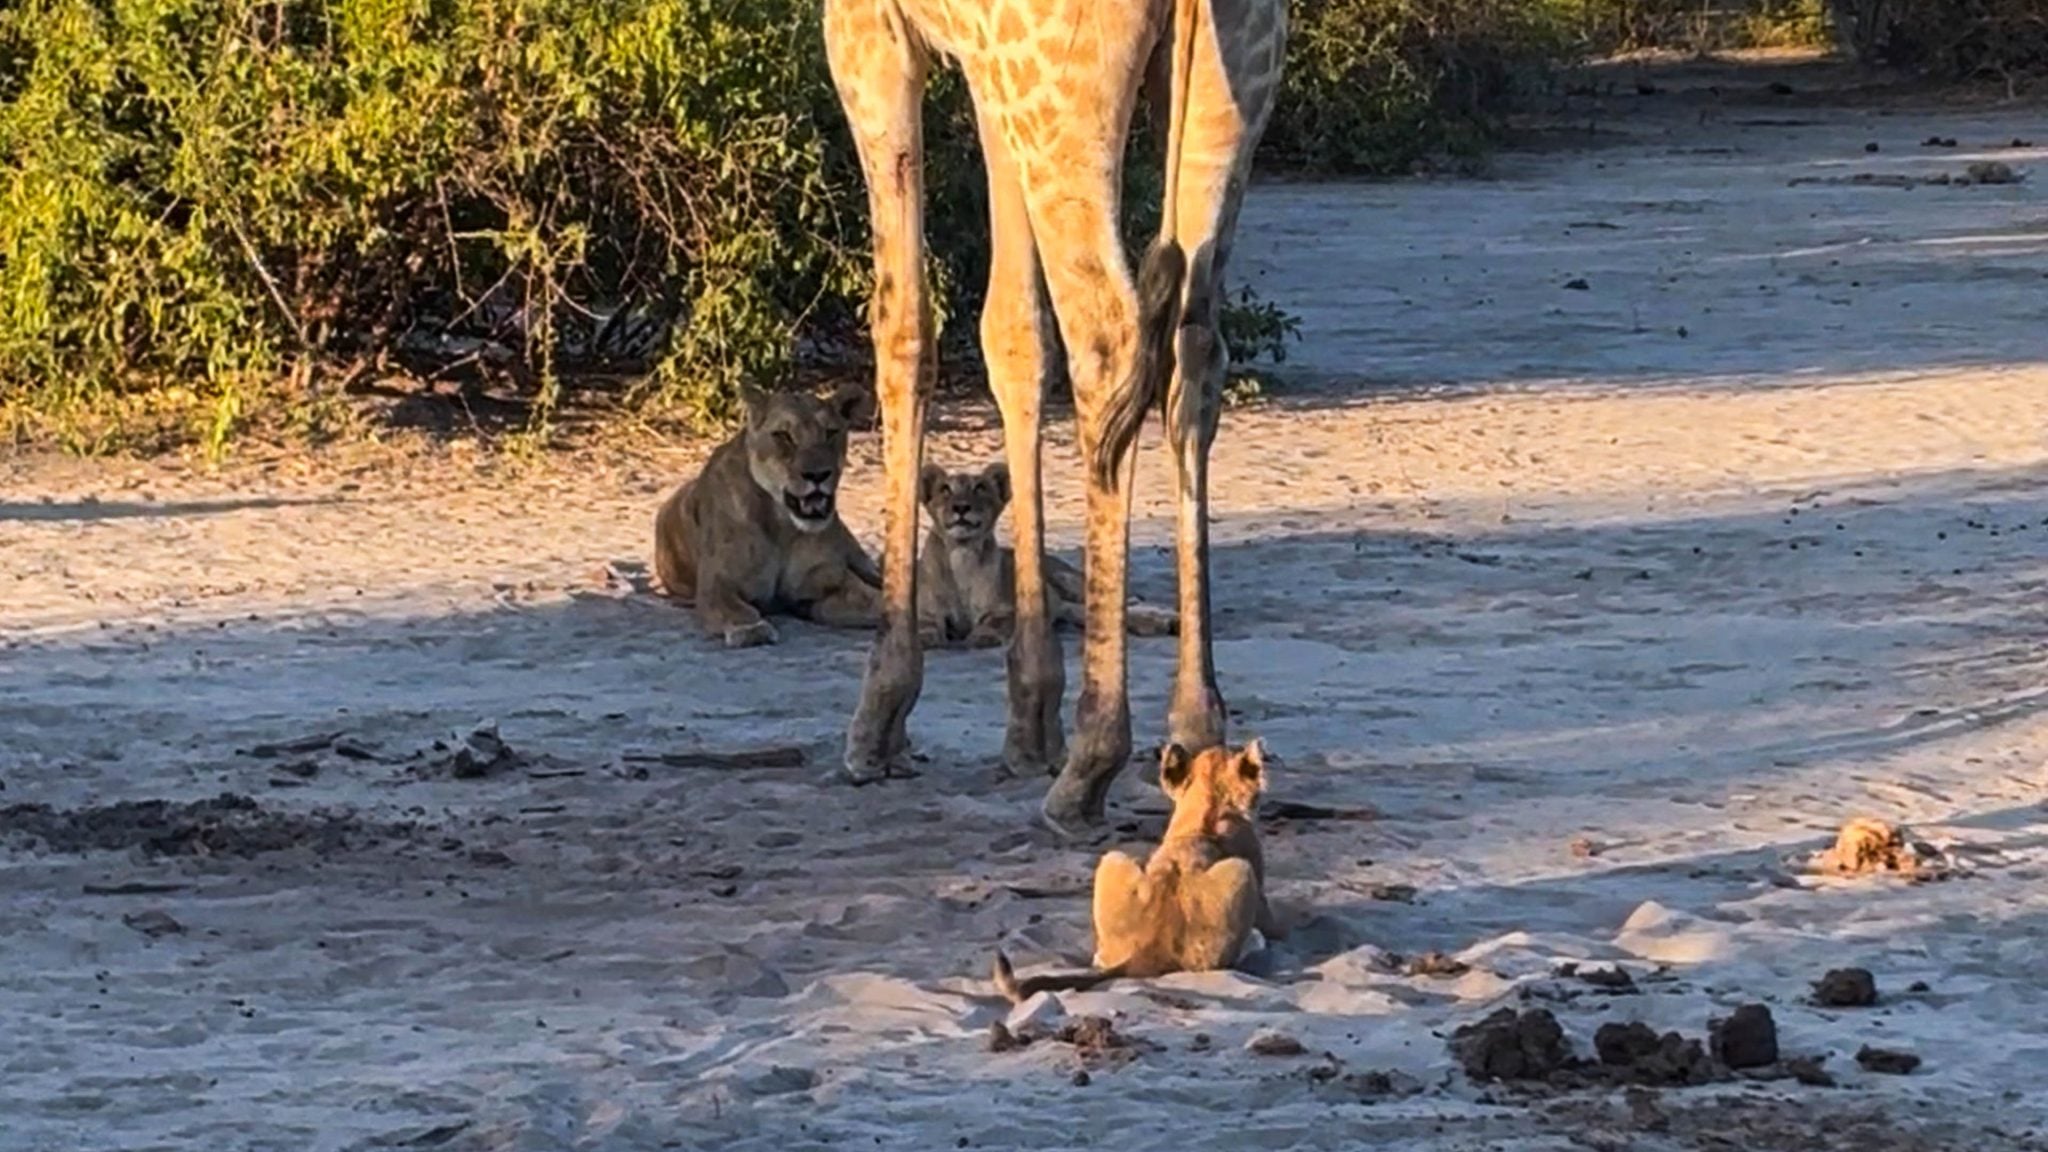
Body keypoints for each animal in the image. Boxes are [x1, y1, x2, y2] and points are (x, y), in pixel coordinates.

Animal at [652, 382, 883, 648]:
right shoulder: (717, 583)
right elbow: (737, 609)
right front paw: (751, 629)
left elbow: (878, 601)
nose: (818, 475)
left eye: (830, 432)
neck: (783, 525)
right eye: (783, 436)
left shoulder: (832, 580)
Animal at [917, 460, 1177, 649]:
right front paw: (928, 639)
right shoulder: (924, 611)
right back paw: (1162, 624)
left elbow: (995, 623)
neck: (962, 554)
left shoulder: (1010, 609)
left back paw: (1165, 618)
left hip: (1066, 580)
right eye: (945, 490)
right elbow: (925, 626)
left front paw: (982, 637)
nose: (961, 507)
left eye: (979, 488)